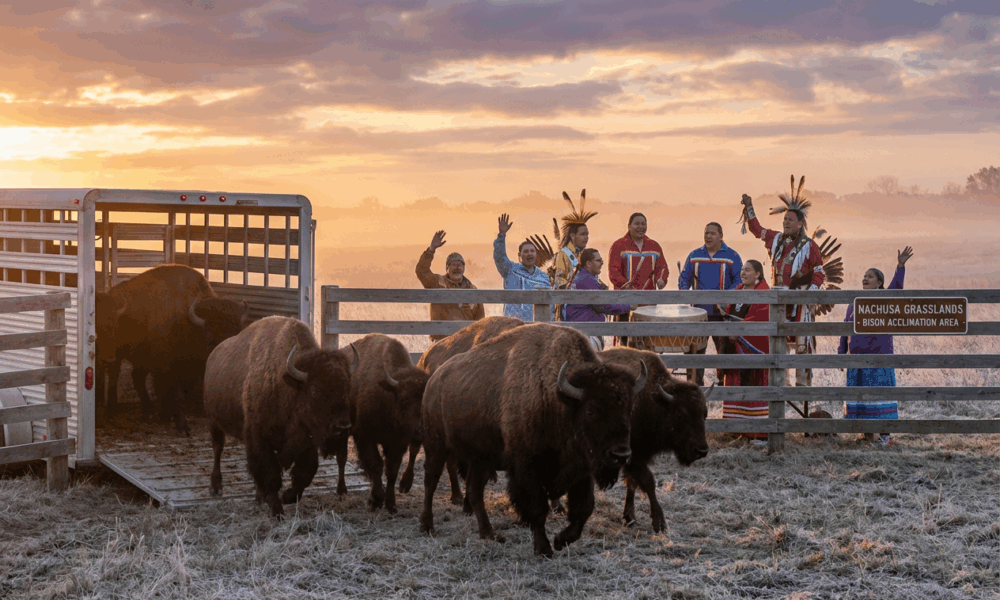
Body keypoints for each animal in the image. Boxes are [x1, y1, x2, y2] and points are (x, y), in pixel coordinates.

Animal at [96, 264, 247, 434]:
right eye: (210, 340)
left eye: (237, 337)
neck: (185, 320)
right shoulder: (166, 367)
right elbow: (172, 392)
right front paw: (177, 422)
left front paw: (168, 415)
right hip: (116, 353)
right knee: (115, 374)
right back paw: (113, 408)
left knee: (137, 377)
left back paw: (148, 409)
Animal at [204, 316, 354, 518]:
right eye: (315, 391)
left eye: (347, 388)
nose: (342, 428)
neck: (288, 387)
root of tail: (213, 354)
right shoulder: (259, 438)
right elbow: (271, 475)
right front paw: (277, 511)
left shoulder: (307, 441)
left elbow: (305, 473)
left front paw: (287, 496)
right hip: (213, 421)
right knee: (217, 449)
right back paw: (216, 487)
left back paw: (259, 496)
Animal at [330, 334, 429, 513]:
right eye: (403, 399)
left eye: (424, 401)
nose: (420, 431)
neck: (388, 394)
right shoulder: (365, 437)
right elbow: (376, 464)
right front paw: (376, 500)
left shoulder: (397, 444)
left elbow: (391, 470)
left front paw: (390, 504)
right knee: (342, 458)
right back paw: (342, 490)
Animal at [420, 323, 645, 556]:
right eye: (590, 411)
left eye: (629, 409)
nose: (621, 454)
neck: (558, 399)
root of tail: (434, 379)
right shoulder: (527, 468)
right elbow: (537, 509)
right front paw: (544, 549)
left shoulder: (581, 469)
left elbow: (584, 508)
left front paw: (561, 540)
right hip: (436, 446)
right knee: (431, 481)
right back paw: (427, 527)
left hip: (480, 459)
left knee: (474, 492)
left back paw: (489, 534)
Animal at [599, 347, 710, 532]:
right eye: (681, 414)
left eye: (704, 414)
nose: (701, 451)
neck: (653, 401)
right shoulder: (633, 456)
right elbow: (648, 482)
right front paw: (660, 523)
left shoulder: (638, 456)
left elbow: (632, 483)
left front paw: (629, 518)